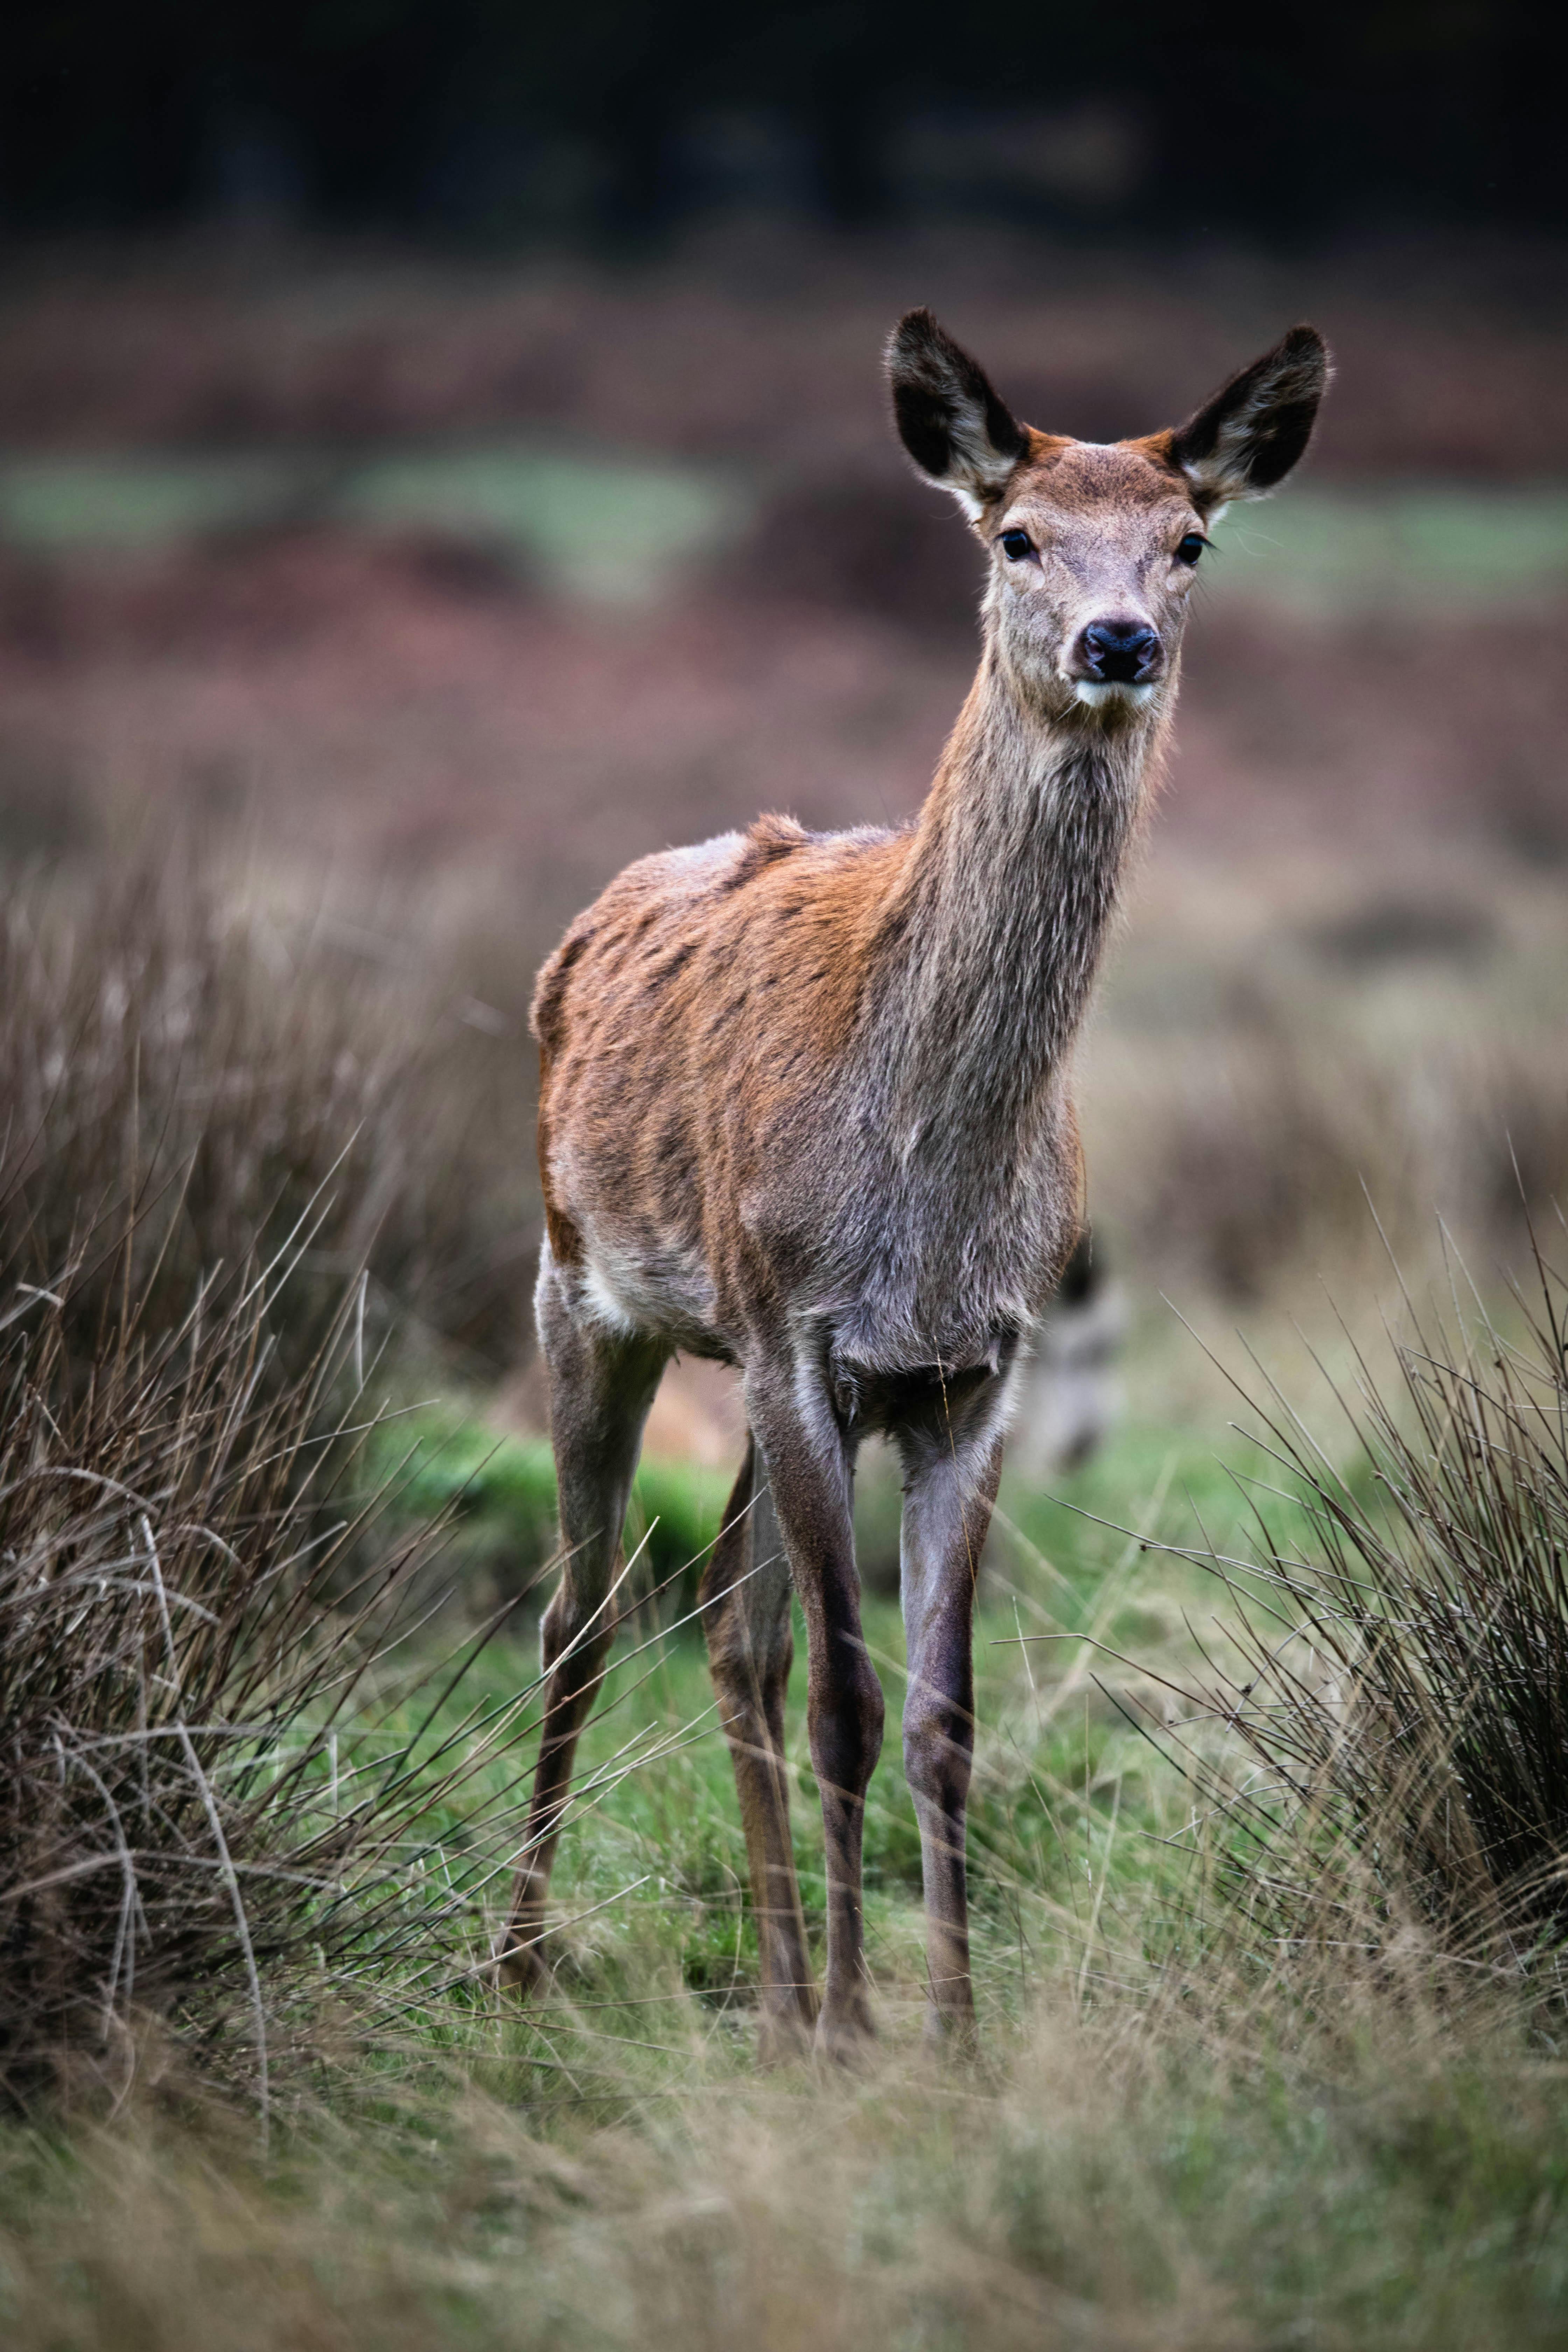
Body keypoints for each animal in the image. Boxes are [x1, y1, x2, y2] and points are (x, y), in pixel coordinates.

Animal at [496, 310, 1330, 2058]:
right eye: (1014, 533)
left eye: (1188, 539)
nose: (1114, 642)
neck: (927, 1199)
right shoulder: (799, 1330)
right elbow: (848, 1698)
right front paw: (859, 2027)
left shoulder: (972, 1370)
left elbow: (942, 1709)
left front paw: (946, 2028)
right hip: (587, 1289)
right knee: (581, 1614)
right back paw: (524, 1962)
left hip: (737, 1368)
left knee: (726, 1633)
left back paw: (767, 1980)